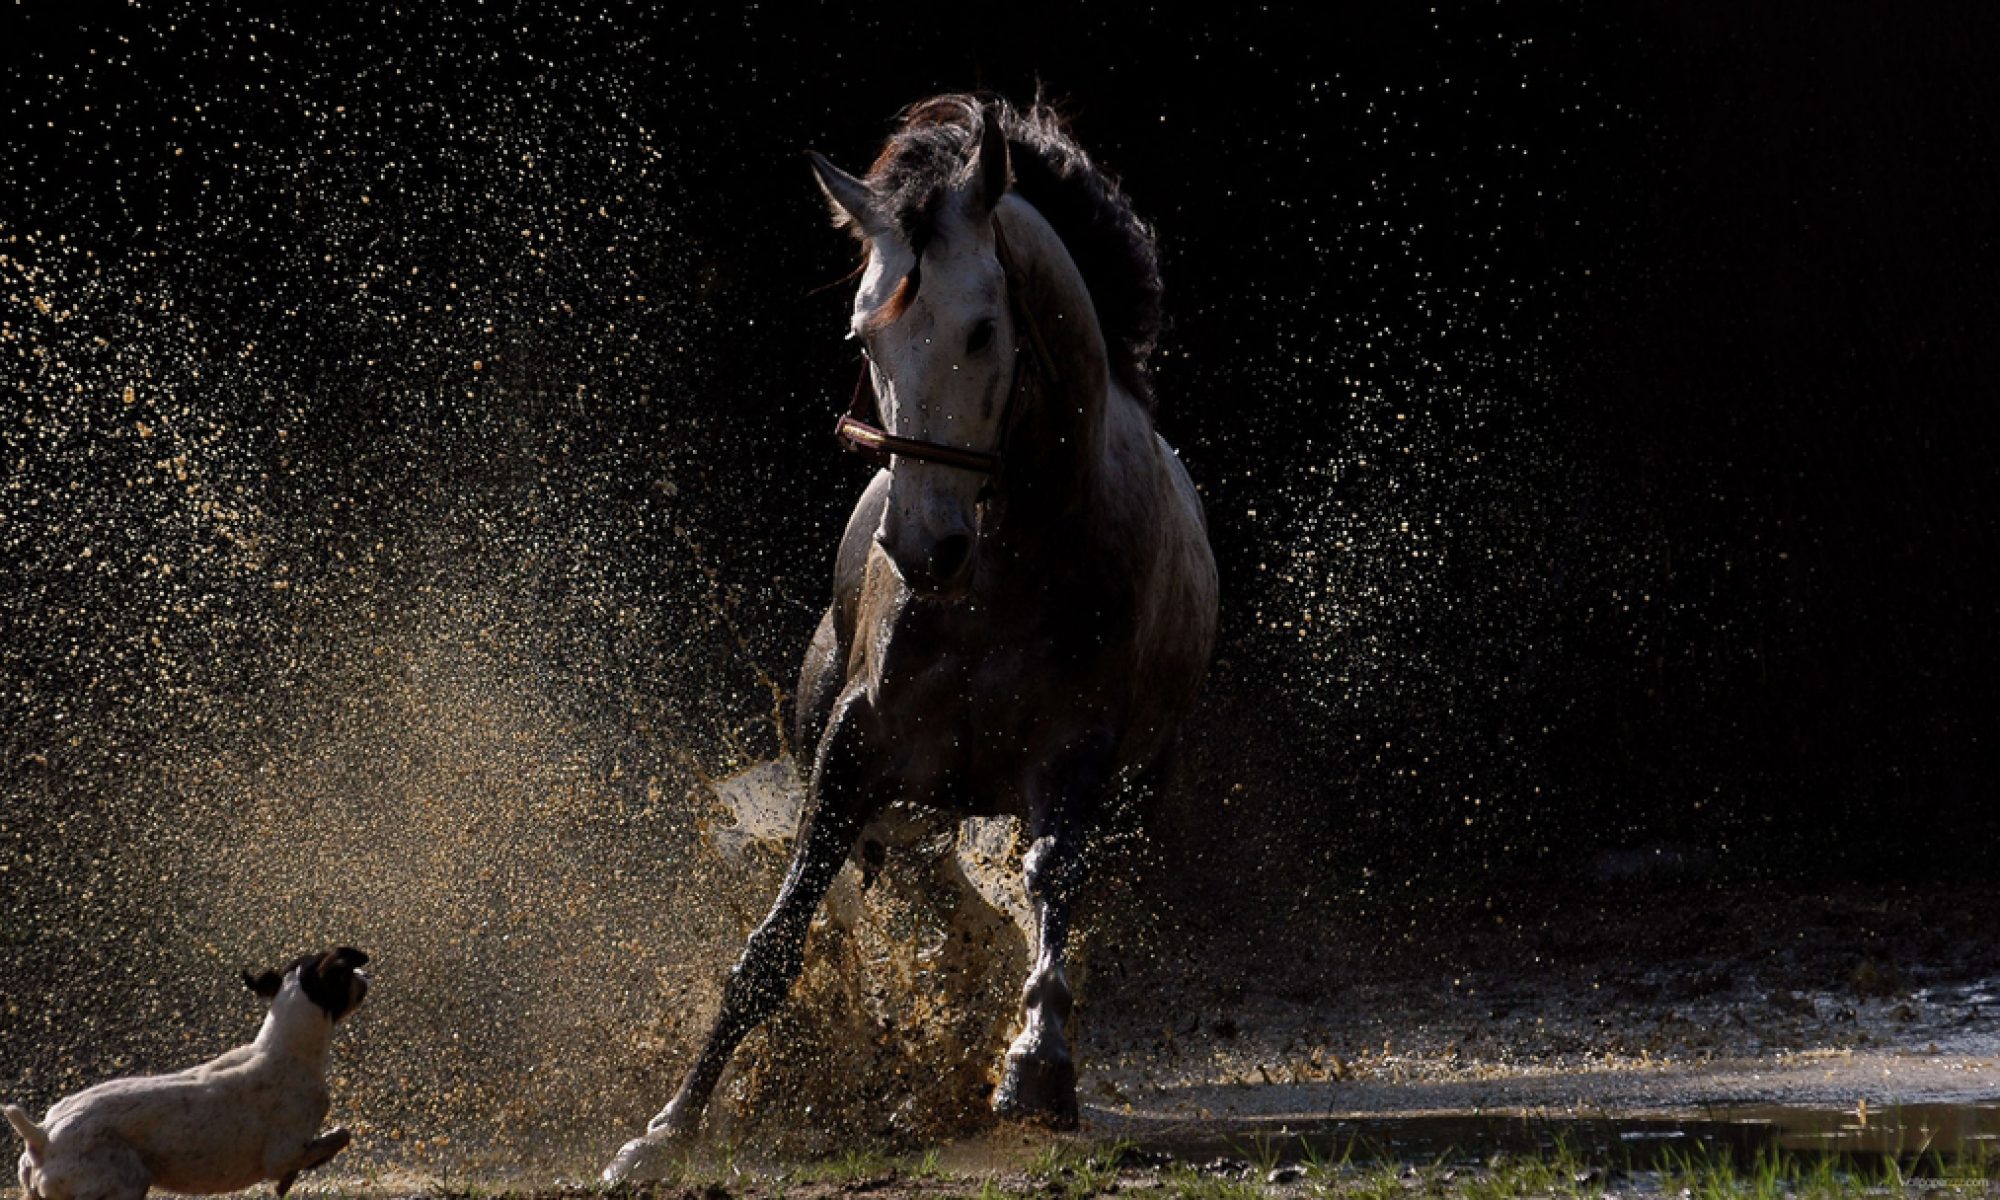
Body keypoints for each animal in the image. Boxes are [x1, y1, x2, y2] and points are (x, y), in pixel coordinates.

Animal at [607, 94, 1218, 1178]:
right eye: (864, 339)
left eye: (983, 329)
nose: (922, 545)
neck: (1006, 567)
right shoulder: (855, 746)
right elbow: (775, 942)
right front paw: (666, 1129)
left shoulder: (1075, 755)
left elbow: (1048, 885)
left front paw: (1036, 1071)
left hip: (1120, 792)